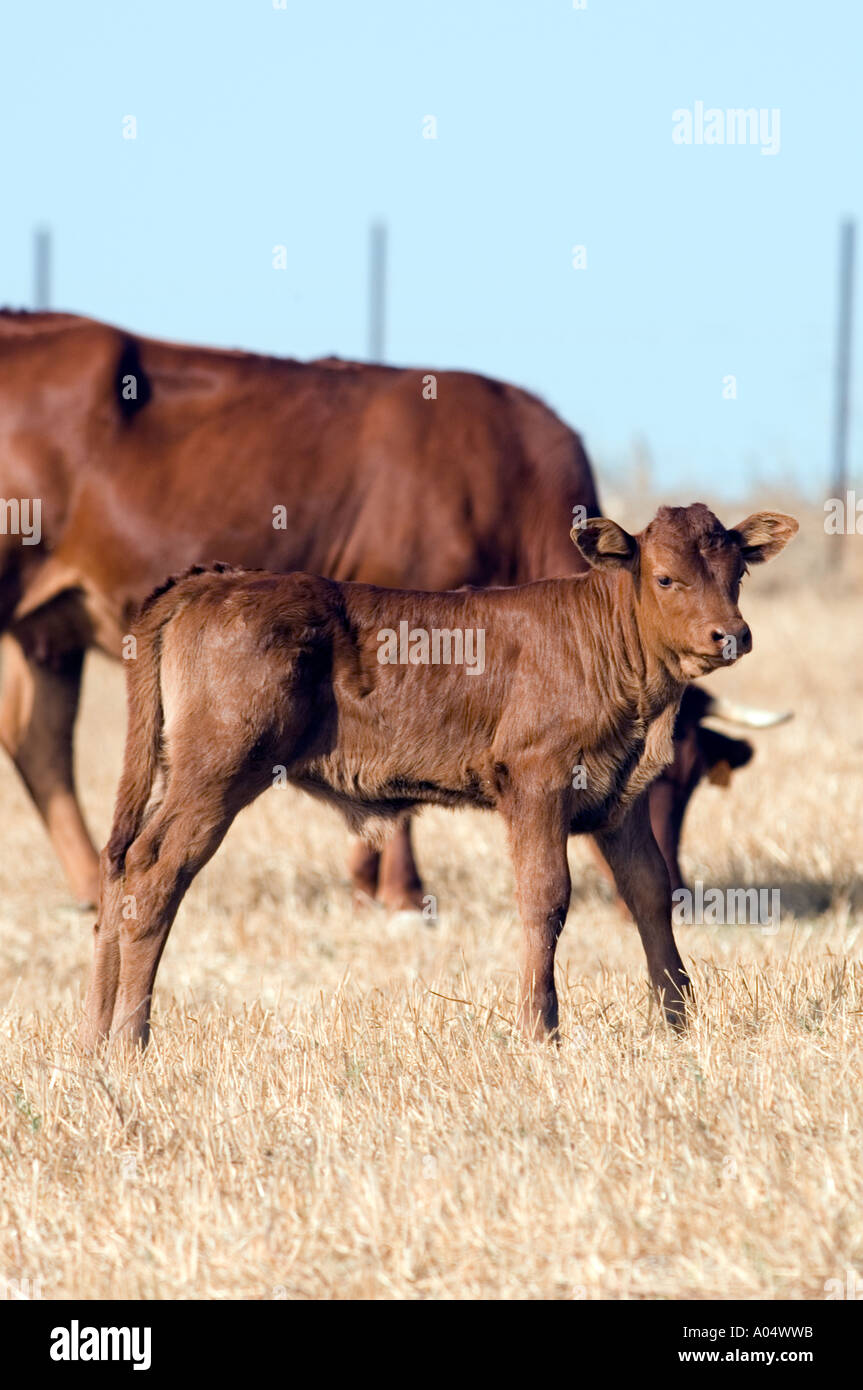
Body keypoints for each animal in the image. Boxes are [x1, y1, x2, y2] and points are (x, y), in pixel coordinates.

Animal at [0, 309, 784, 914]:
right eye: (663, 782)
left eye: (692, 782)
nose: (675, 893)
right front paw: (402, 893)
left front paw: (366, 881)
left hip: (46, 633)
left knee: (39, 744)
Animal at [80, 503, 797, 1050]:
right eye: (666, 578)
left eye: (736, 573)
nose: (729, 635)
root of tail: (214, 580)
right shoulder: (536, 781)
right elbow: (545, 897)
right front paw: (540, 1030)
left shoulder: (616, 797)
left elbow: (650, 892)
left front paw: (678, 1023)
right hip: (217, 770)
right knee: (157, 870)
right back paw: (131, 1041)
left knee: (121, 864)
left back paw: (95, 1037)